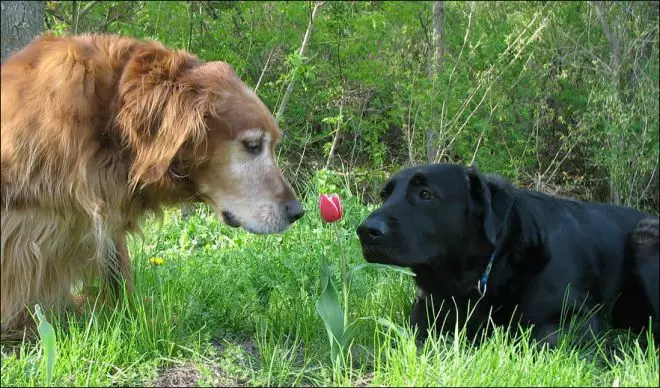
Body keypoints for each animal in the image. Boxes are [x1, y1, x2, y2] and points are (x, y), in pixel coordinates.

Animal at [358, 162, 656, 348]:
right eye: (385, 195)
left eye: (425, 194)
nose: (365, 231)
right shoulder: (425, 312)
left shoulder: (580, 317)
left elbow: (537, 338)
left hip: (644, 237)